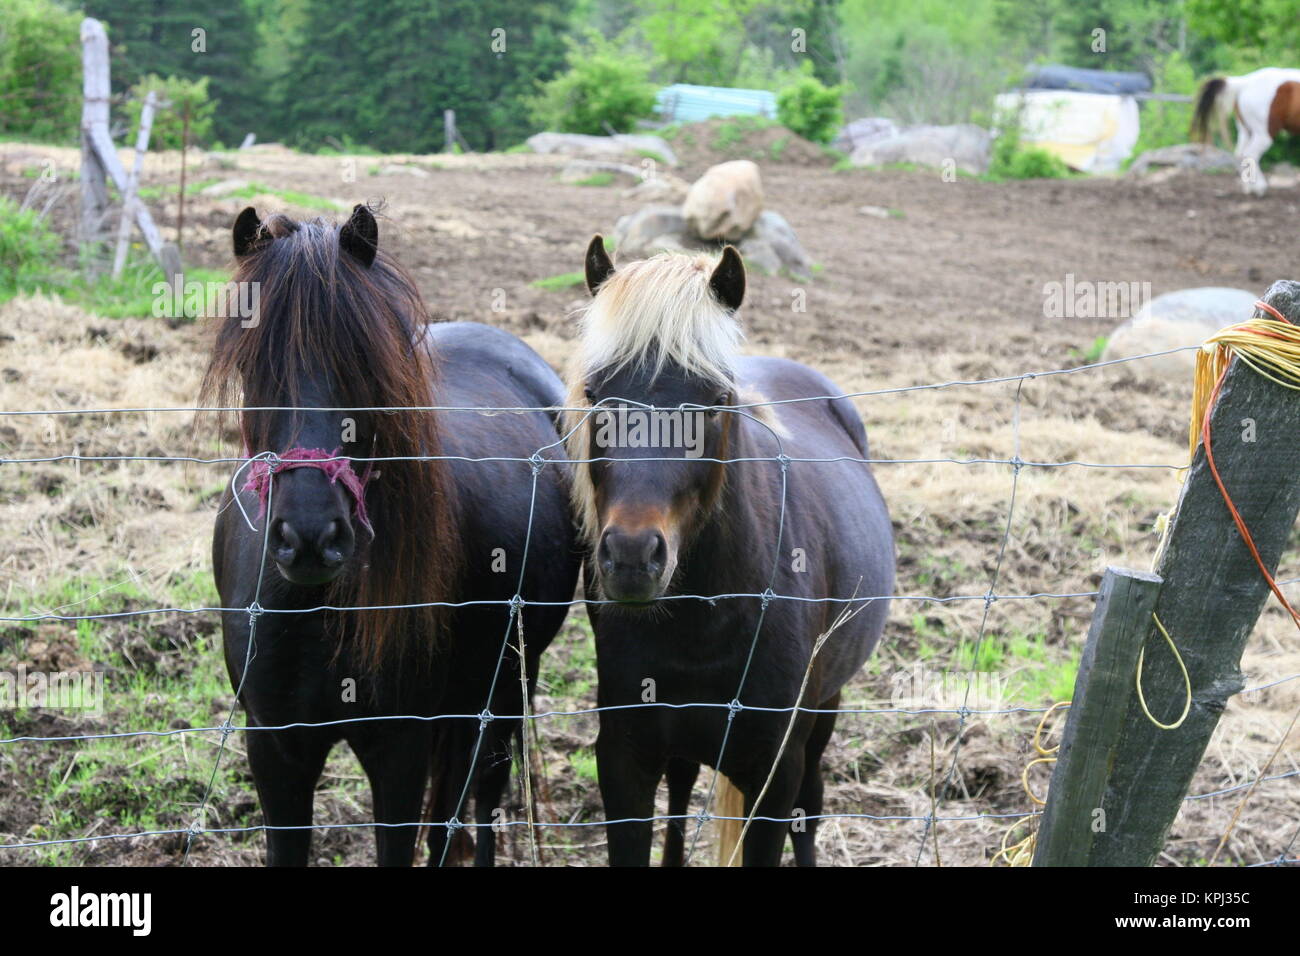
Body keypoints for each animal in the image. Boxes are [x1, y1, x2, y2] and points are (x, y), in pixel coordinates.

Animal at [203, 204, 580, 866]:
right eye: (253, 365)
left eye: (362, 364)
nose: (309, 536)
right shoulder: (275, 748)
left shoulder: (399, 749)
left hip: (504, 689)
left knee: (480, 796)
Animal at [566, 238, 895, 866]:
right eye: (595, 396)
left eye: (716, 400)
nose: (632, 557)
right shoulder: (624, 761)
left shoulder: (773, 771)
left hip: (825, 709)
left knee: (810, 811)